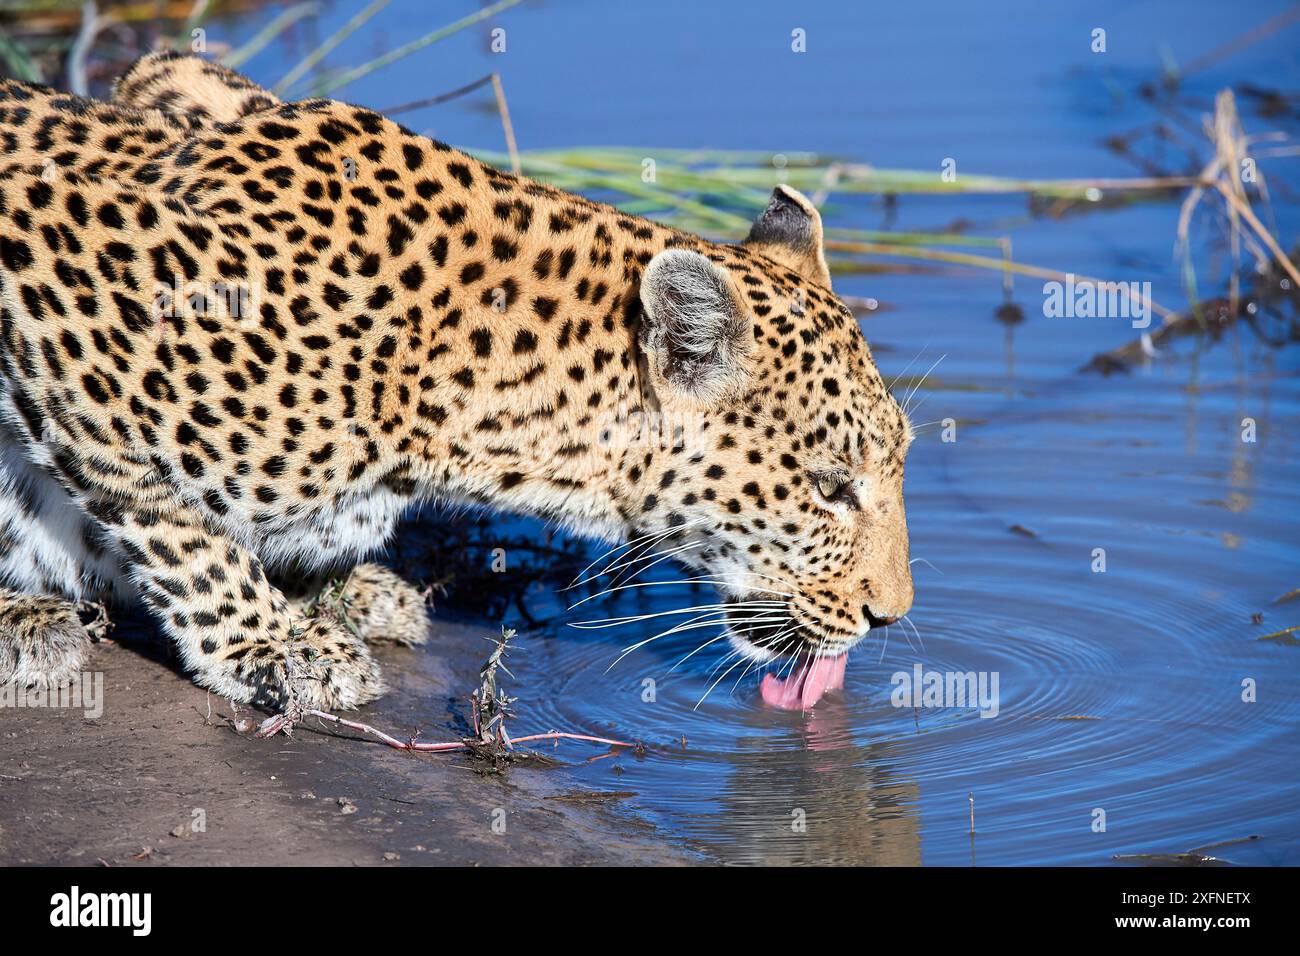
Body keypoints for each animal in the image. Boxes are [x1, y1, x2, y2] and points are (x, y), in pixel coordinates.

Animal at [0, 52, 914, 715]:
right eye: (830, 489)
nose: (893, 615)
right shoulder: (64, 259)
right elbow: (181, 528)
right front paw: (276, 644)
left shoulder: (176, 81)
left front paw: (334, 594)